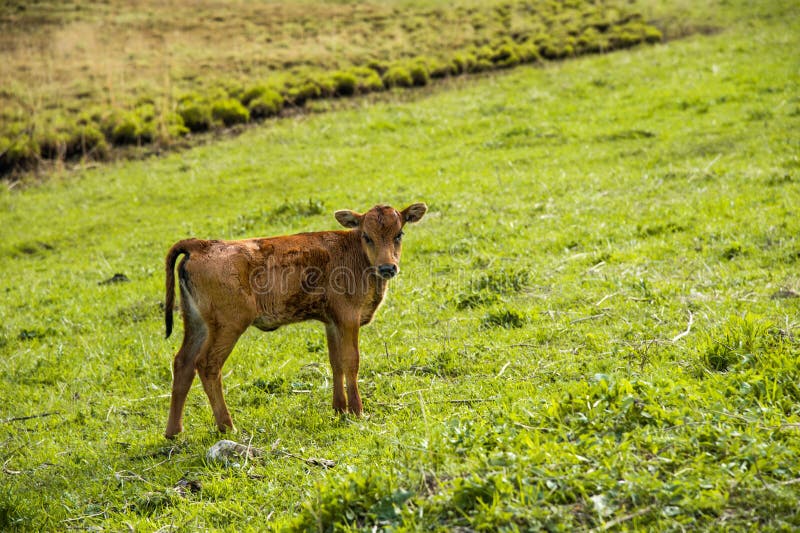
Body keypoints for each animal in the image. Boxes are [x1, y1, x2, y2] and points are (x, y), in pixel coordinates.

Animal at [163, 203, 427, 438]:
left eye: (399, 234)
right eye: (366, 236)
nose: (387, 267)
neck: (354, 253)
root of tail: (202, 244)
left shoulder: (332, 322)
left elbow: (335, 362)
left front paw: (339, 409)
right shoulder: (348, 318)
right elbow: (351, 362)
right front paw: (357, 411)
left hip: (198, 324)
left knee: (183, 363)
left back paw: (174, 431)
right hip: (229, 325)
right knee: (207, 365)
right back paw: (227, 426)